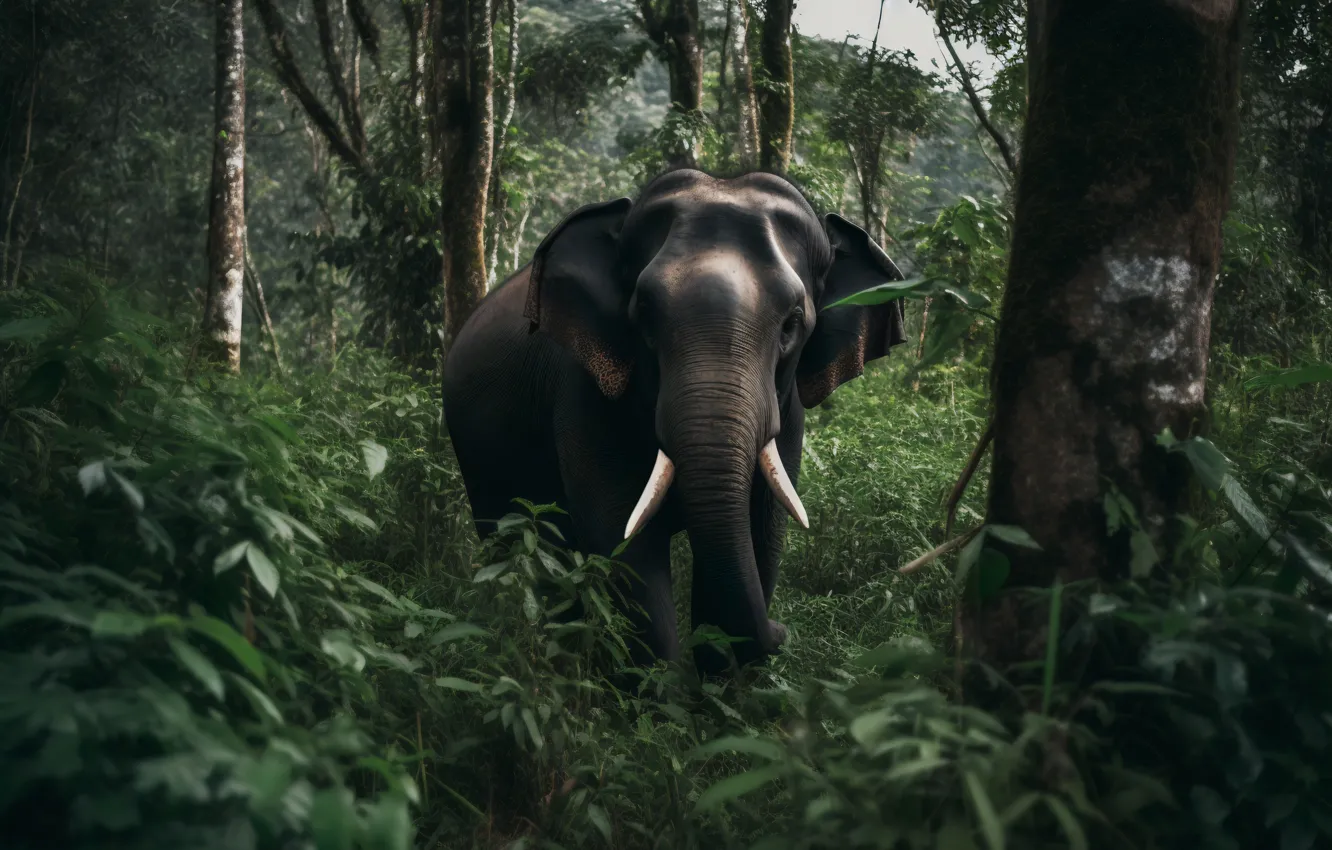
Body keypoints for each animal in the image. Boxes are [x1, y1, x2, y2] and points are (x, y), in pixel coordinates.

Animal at [442, 168, 906, 674]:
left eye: (791, 324)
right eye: (643, 315)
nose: (783, 631)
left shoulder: (789, 417)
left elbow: (760, 535)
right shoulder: (584, 393)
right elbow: (624, 546)